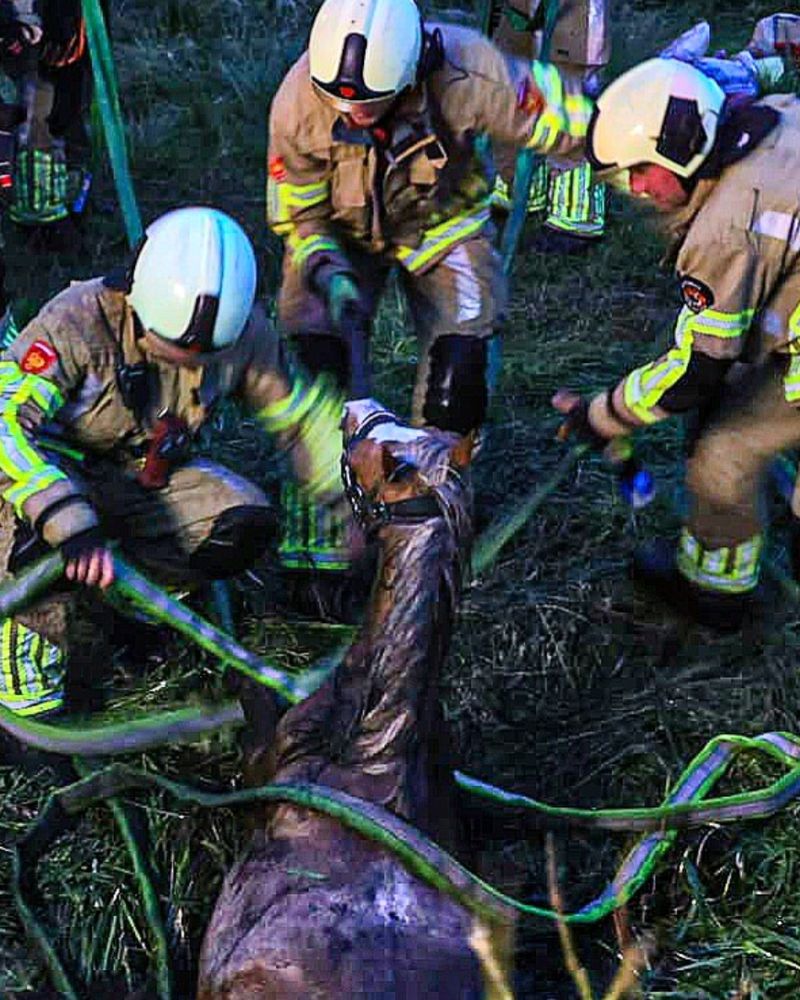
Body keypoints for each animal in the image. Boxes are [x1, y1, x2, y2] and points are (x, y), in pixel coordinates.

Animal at [197, 399, 516, 998]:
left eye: (375, 454)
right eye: (417, 430)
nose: (355, 408)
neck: (376, 742)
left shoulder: (259, 764)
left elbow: (252, 704)